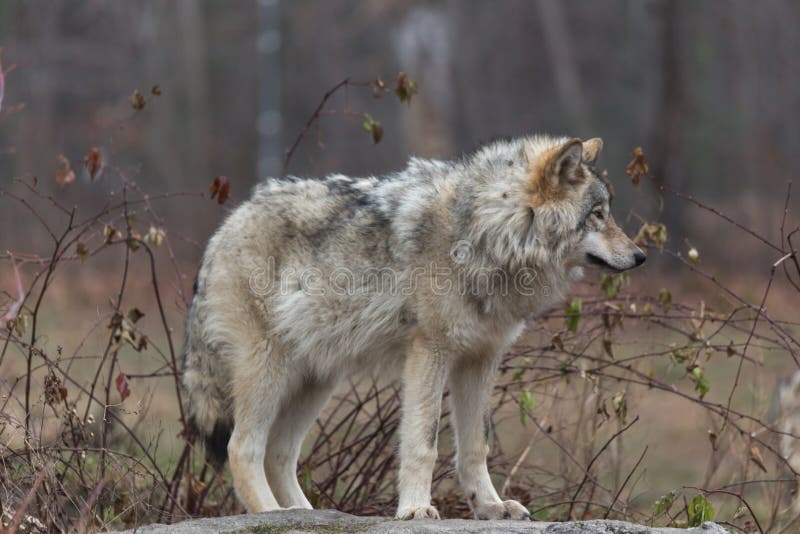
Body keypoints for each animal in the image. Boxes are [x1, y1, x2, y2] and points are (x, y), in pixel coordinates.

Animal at [181, 134, 646, 520]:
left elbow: (475, 446)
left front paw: (491, 507)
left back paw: (304, 514)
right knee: (243, 447)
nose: (641, 256)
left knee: (279, 453)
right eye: (597, 215)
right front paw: (416, 509)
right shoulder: (430, 351)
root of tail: (224, 228)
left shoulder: (481, 360)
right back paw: (271, 515)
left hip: (316, 380)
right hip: (268, 372)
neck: (485, 231)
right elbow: (423, 443)